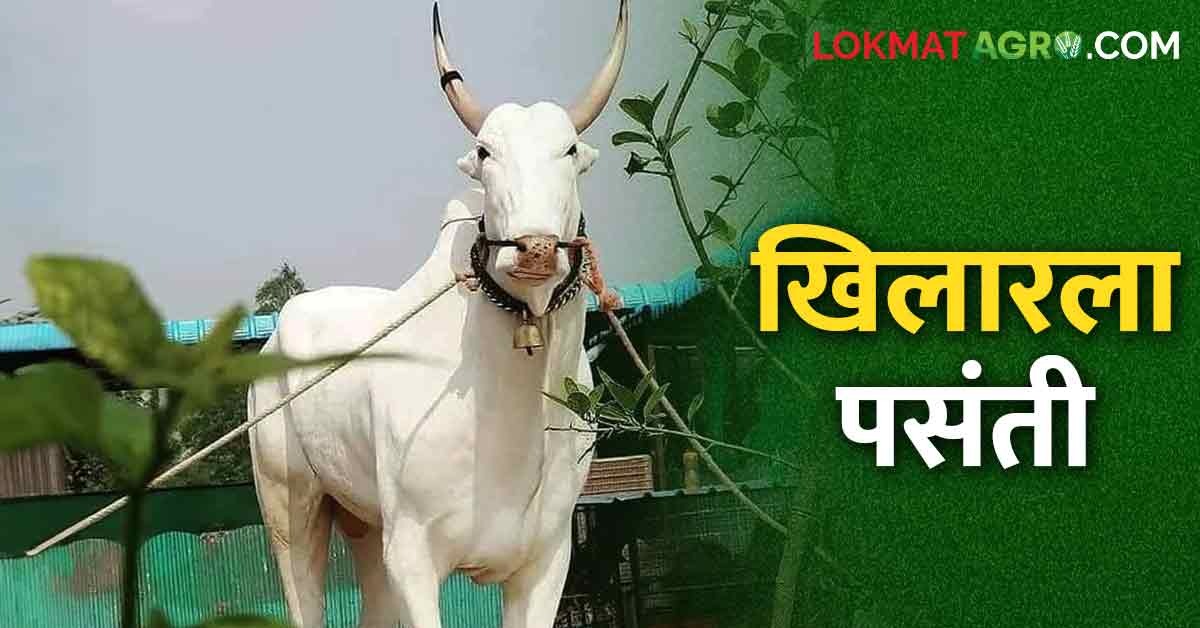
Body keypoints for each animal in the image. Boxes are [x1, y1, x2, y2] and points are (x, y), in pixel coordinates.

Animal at [247, 2, 630, 627]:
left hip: (364, 521)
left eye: (571, 150)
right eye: (485, 153)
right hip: (290, 505)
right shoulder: (413, 554)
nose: (535, 249)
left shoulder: (547, 560)